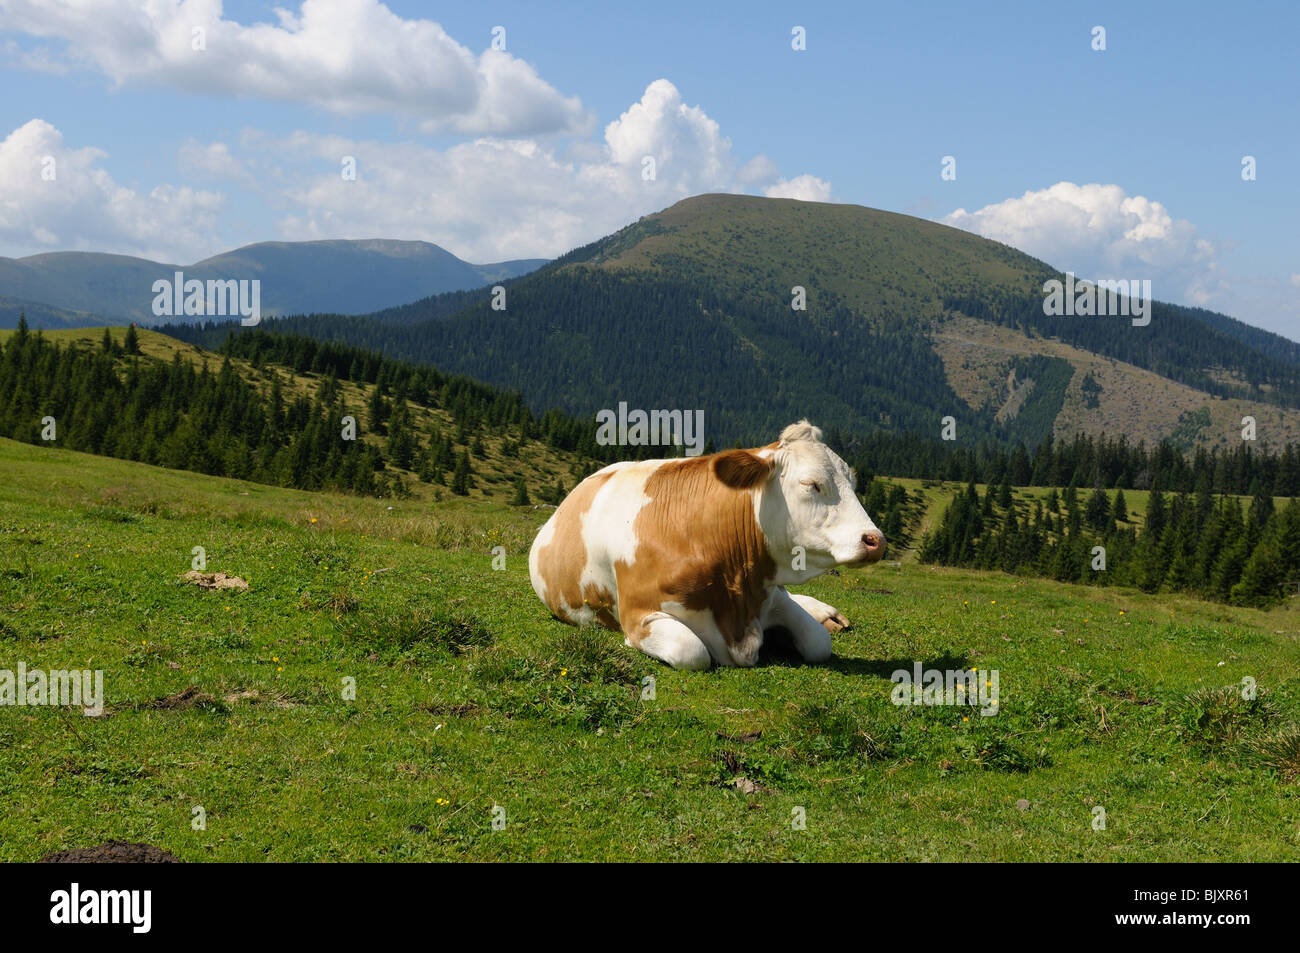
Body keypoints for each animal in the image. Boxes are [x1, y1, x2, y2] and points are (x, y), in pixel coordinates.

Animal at [528, 420, 885, 669]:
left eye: (852, 482)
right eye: (812, 484)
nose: (876, 540)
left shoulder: (769, 596)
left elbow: (817, 641)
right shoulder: (639, 615)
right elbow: (692, 652)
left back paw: (827, 613)